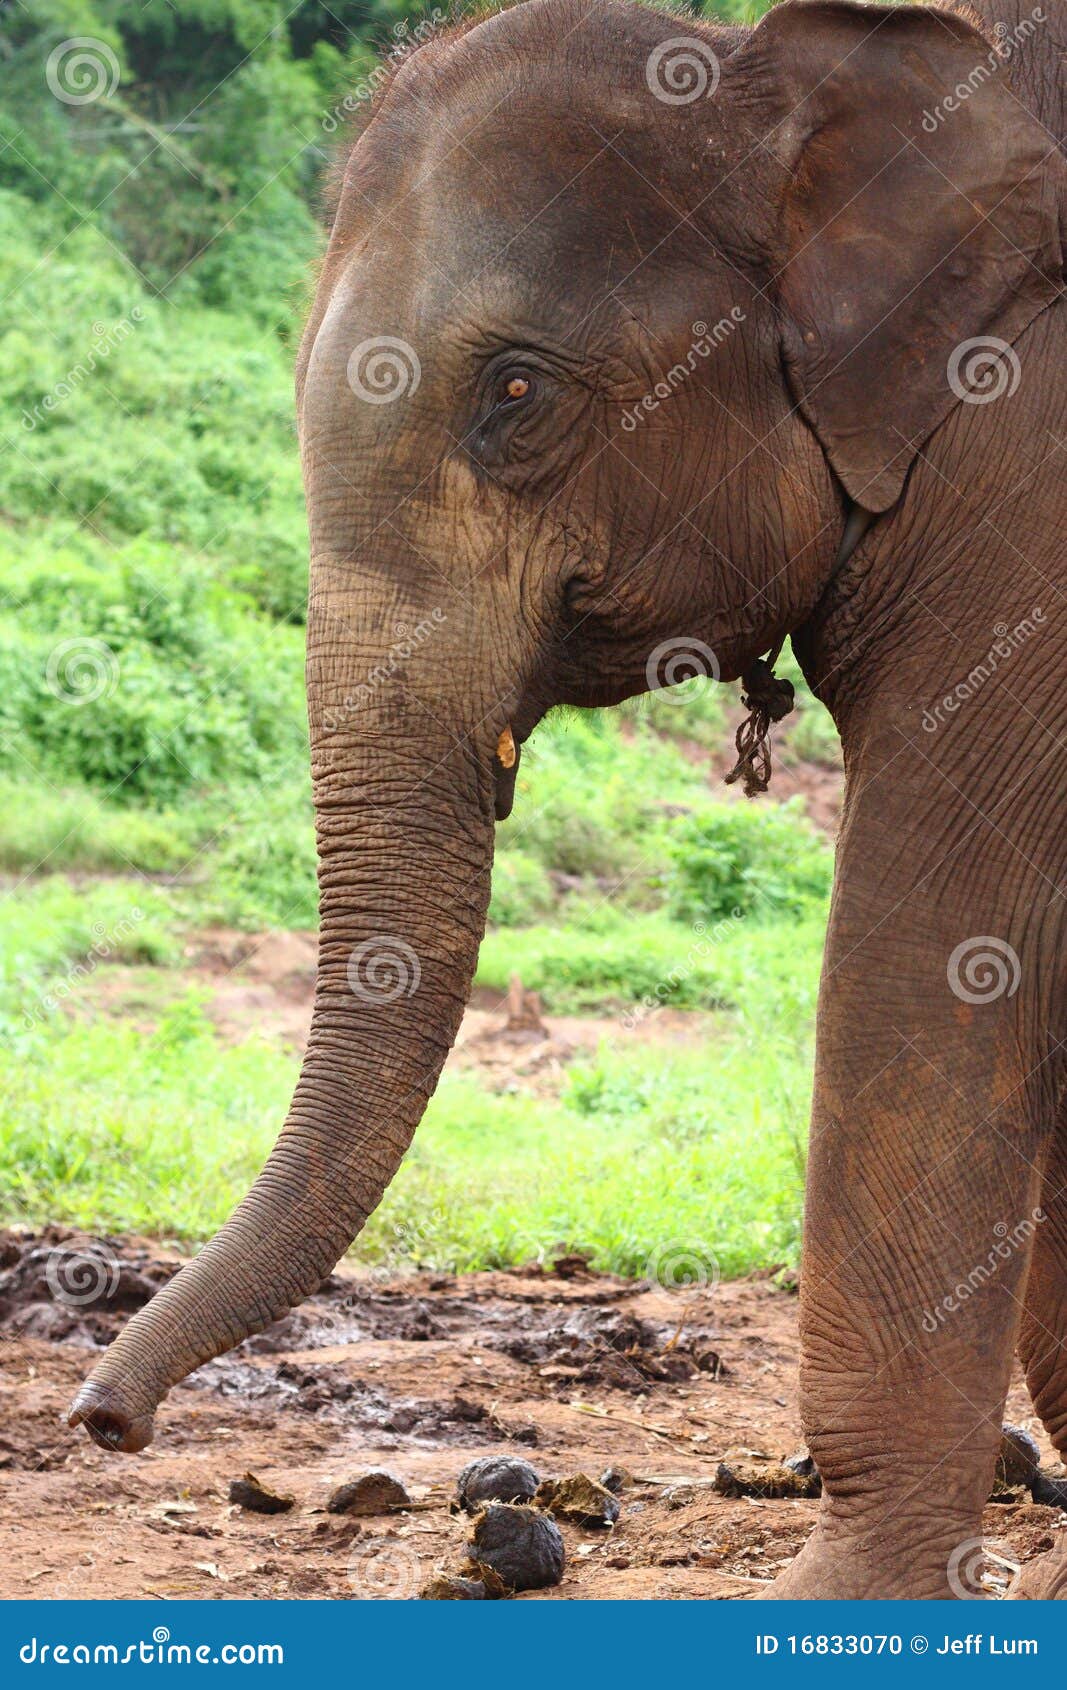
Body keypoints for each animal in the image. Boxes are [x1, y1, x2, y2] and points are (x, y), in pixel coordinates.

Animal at [69, 0, 1067, 1600]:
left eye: (515, 394)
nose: (103, 1420)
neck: (765, 75)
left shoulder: (1023, 493)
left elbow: (935, 947)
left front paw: (841, 1603)